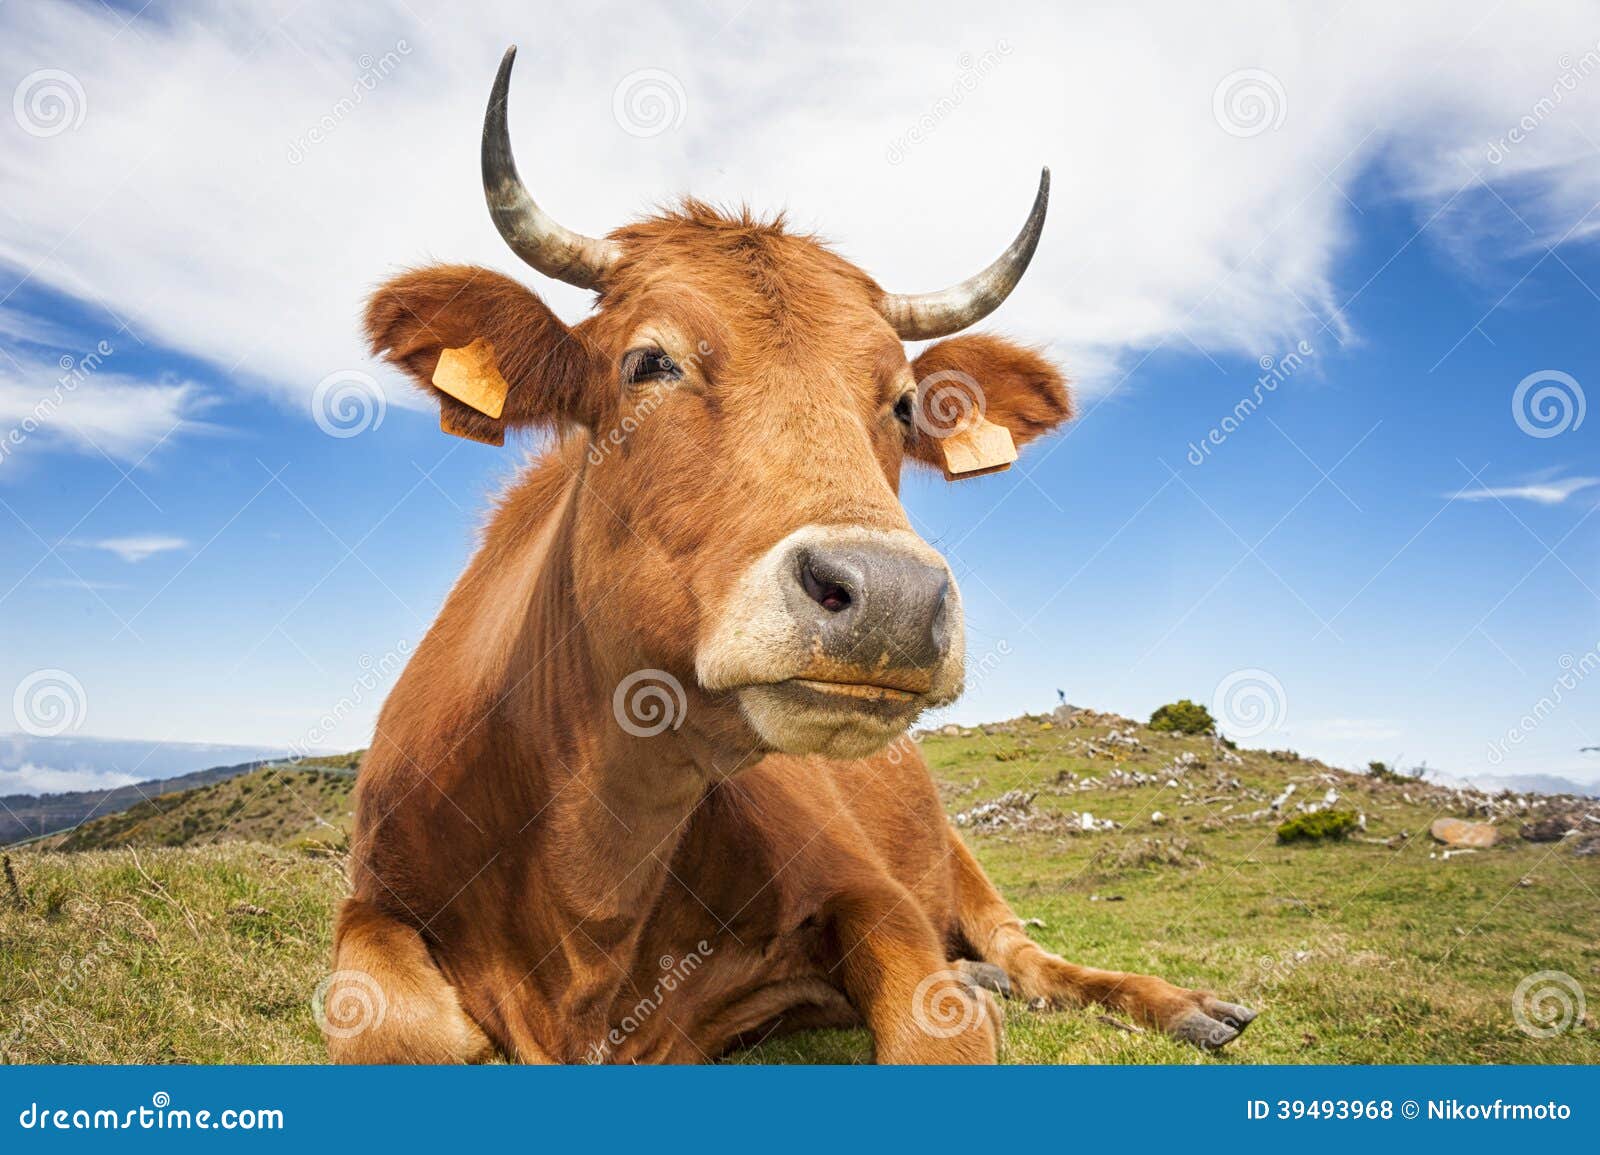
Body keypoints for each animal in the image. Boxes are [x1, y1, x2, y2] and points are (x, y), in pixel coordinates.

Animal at [322, 47, 1256, 1064]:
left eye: (903, 402)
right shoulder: (372, 899)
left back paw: (1176, 1001)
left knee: (1037, 958)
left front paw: (973, 997)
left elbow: (936, 1026)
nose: (892, 598)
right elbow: (394, 1022)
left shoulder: (870, 891)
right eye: (648, 362)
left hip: (962, 860)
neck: (591, 893)